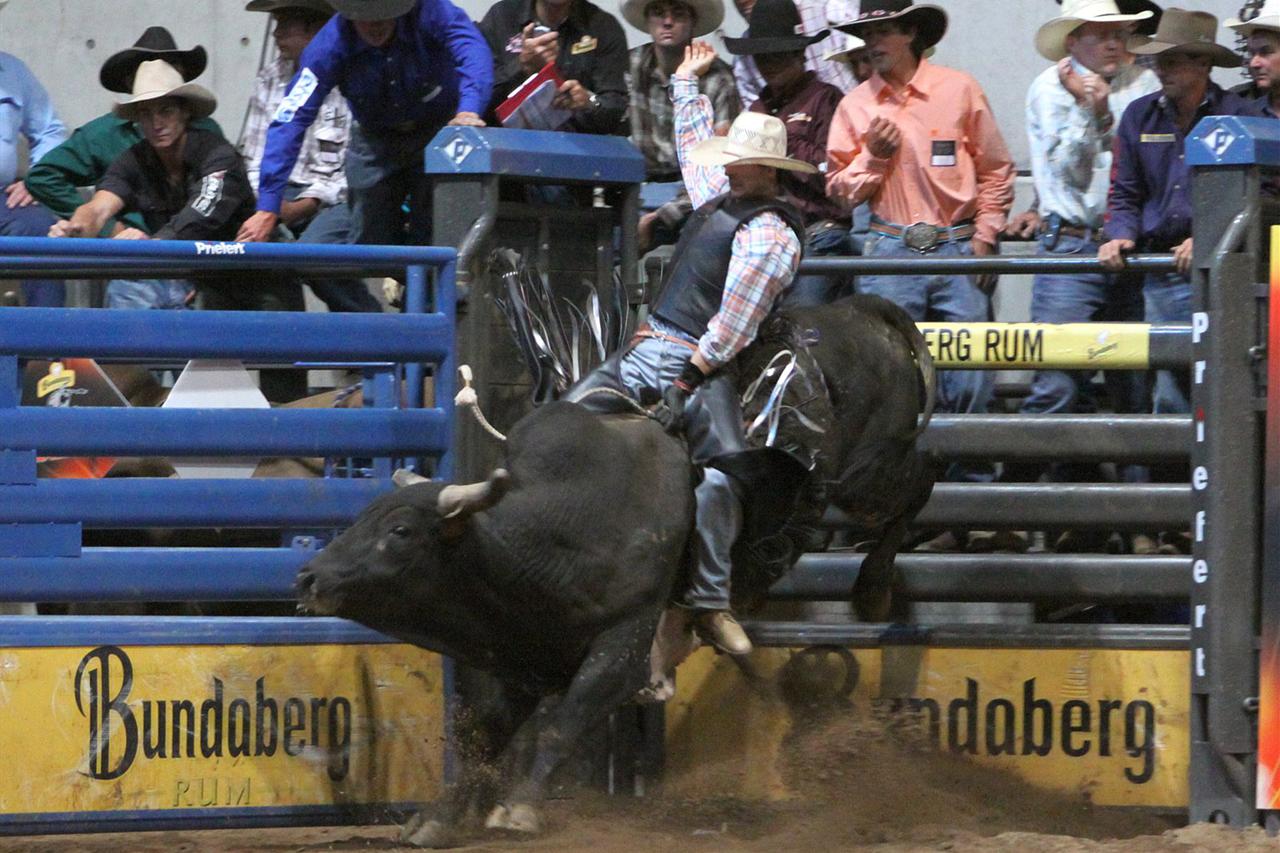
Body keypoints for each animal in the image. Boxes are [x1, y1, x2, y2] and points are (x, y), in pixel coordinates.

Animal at [295, 294, 935, 847]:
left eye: (401, 532)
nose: (308, 578)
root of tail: (852, 309)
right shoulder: (523, 653)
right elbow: (488, 733)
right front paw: (438, 818)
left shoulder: (623, 647)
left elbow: (565, 720)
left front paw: (518, 809)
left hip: (866, 476)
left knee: (921, 482)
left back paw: (873, 589)